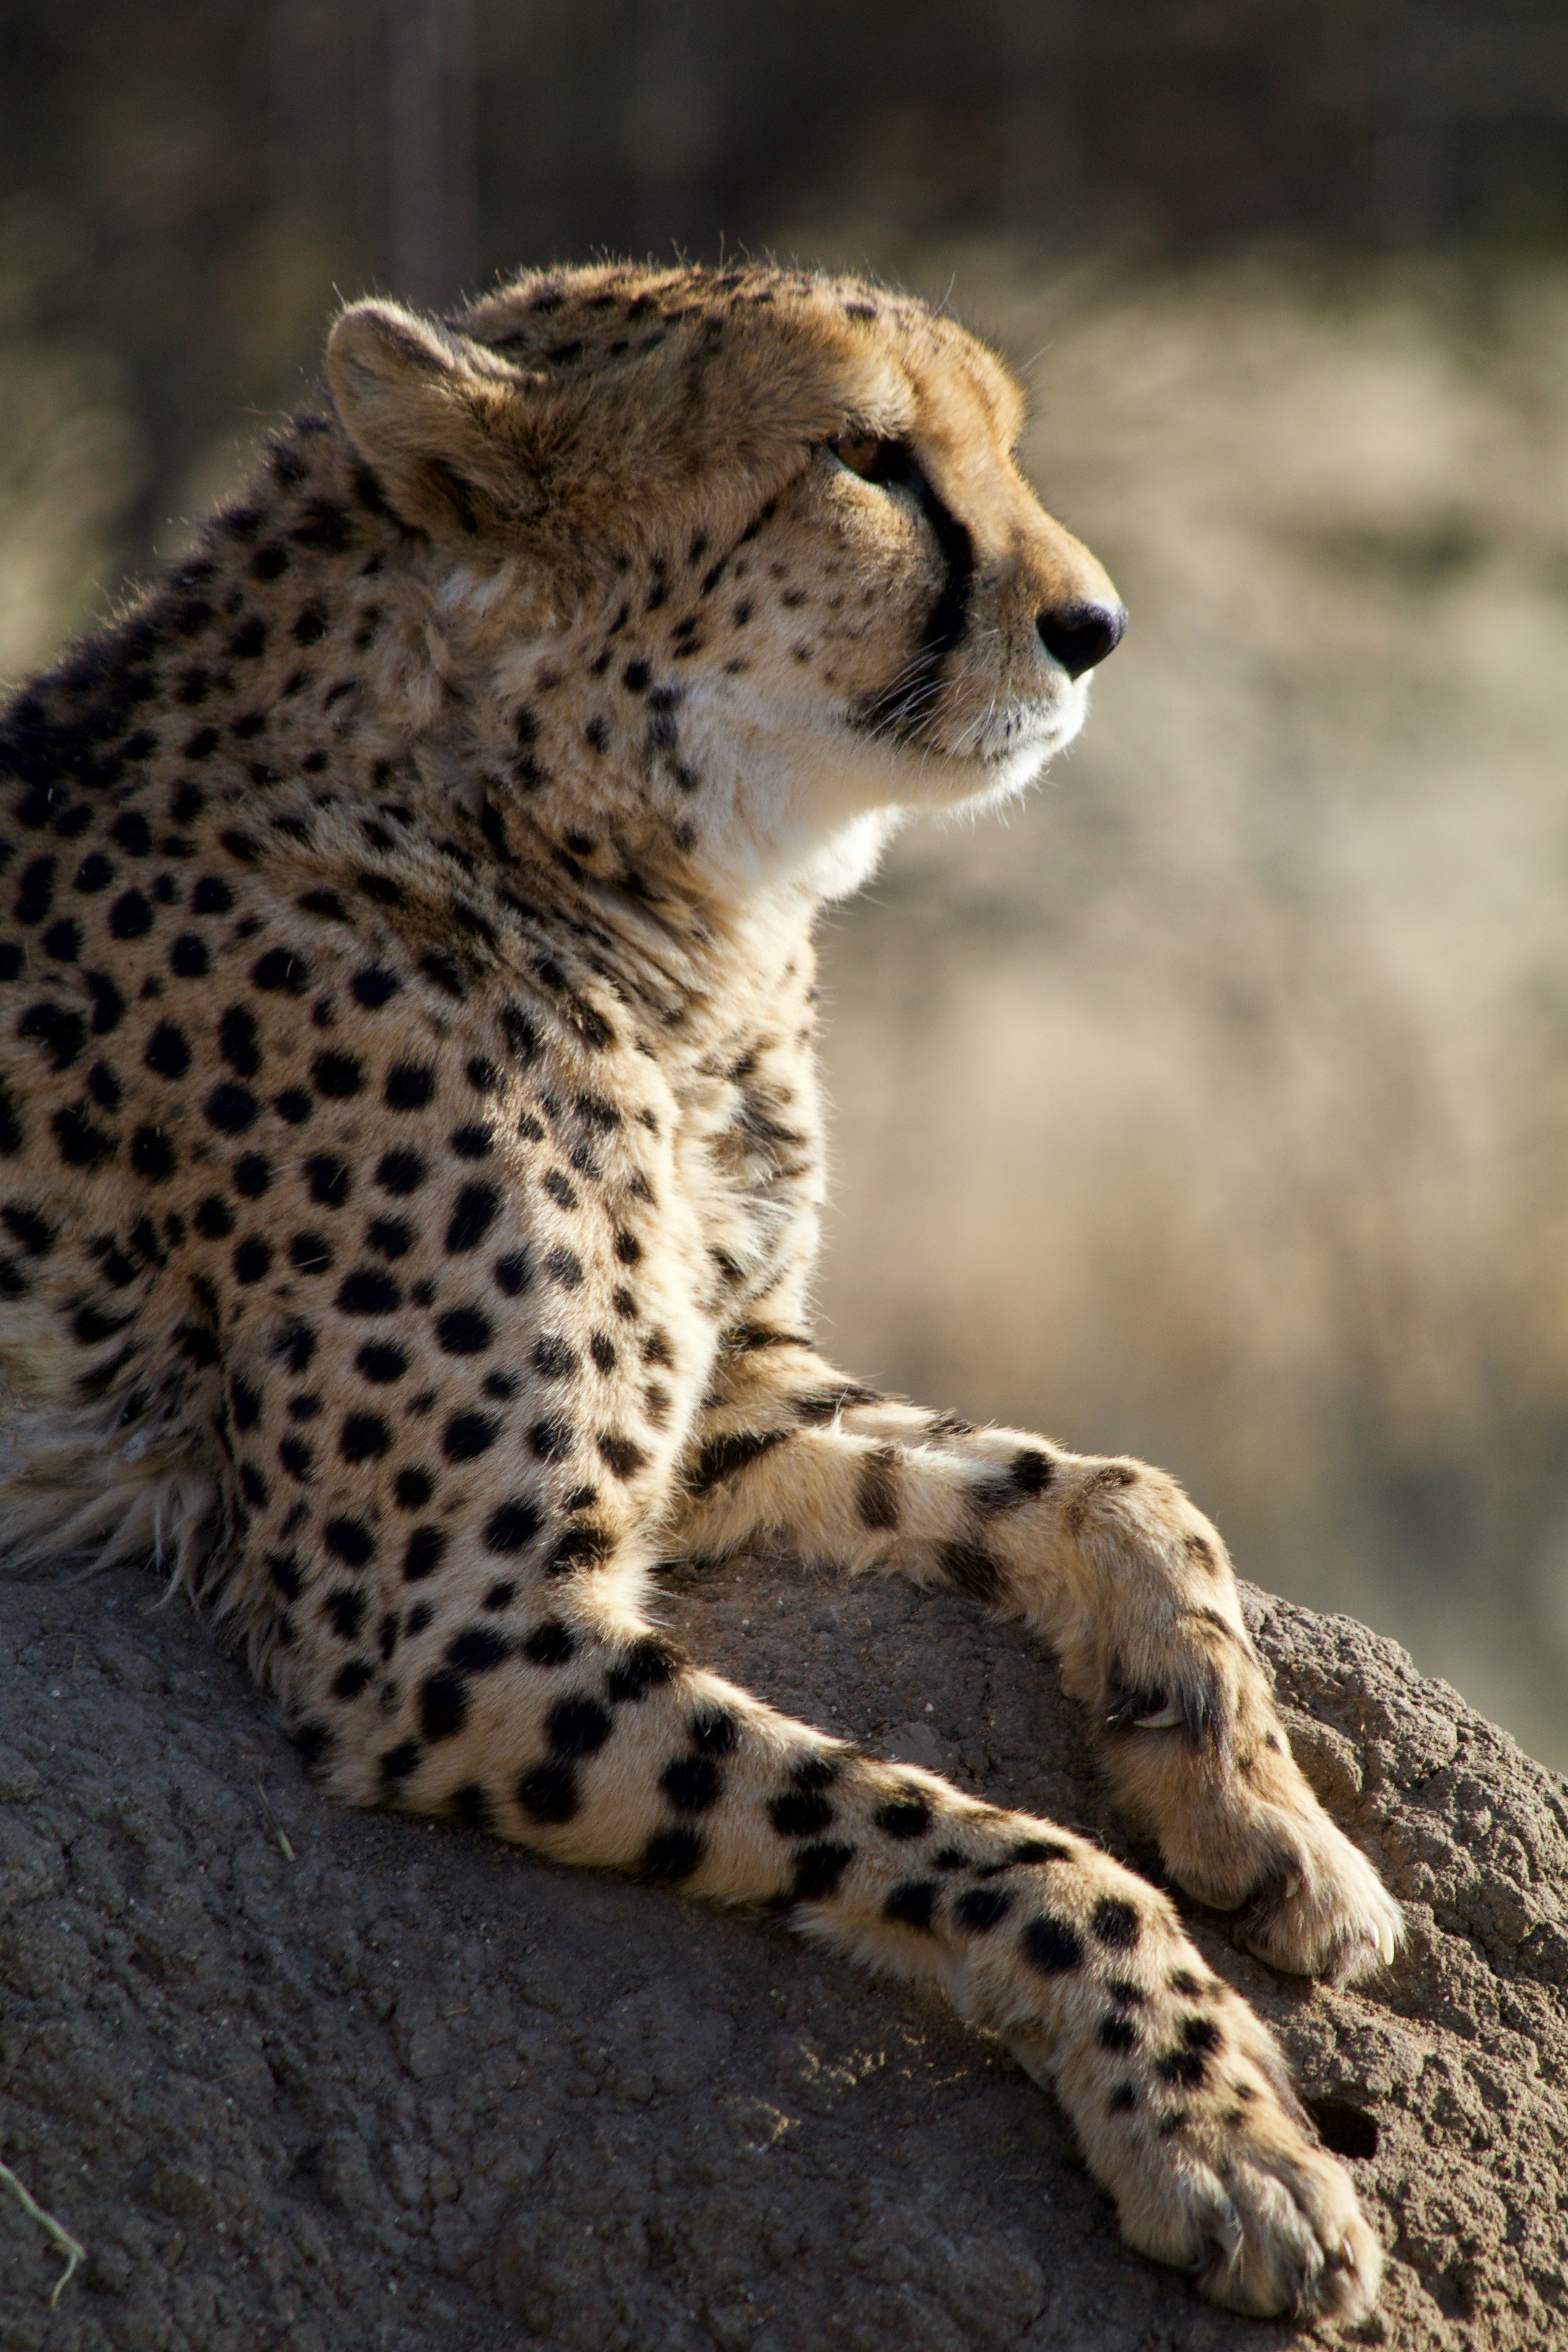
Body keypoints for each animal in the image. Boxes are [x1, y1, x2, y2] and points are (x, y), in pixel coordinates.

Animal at [0, 259, 1402, 2321]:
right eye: (868, 459)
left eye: (996, 438)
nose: (1095, 627)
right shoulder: (443, 1621)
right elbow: (995, 1842)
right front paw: (1226, 2136)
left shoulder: (722, 1380)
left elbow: (1108, 1487)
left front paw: (1260, 1810)